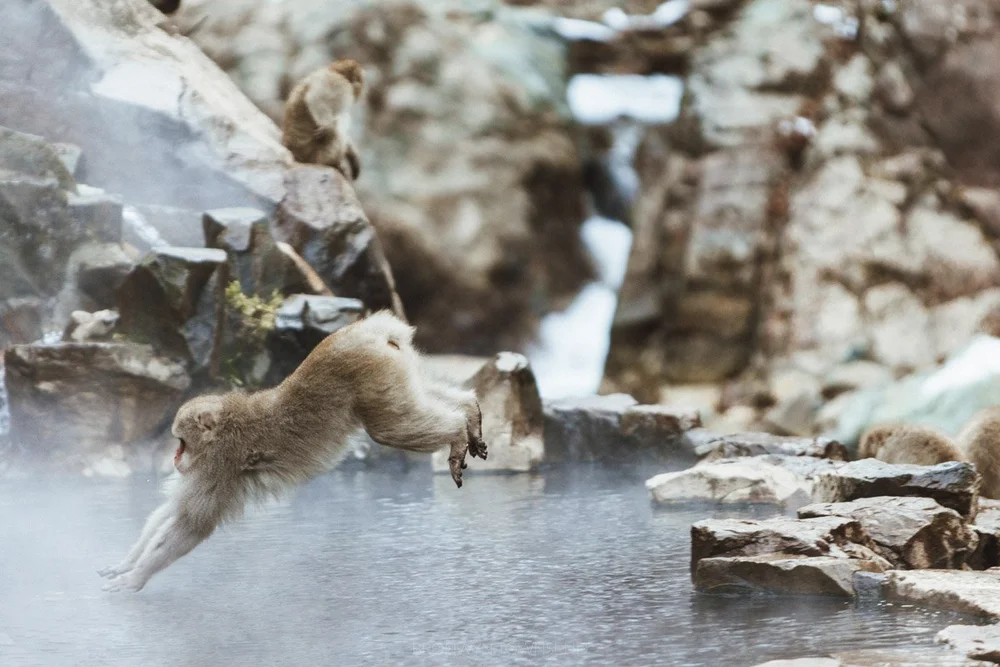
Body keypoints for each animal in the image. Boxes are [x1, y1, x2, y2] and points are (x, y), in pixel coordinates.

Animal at [98, 310, 487, 592]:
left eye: (181, 441)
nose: (175, 459)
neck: (224, 427)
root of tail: (366, 333)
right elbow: (171, 510)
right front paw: (128, 563)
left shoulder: (221, 462)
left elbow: (191, 524)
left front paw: (135, 578)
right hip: (395, 372)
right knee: (416, 401)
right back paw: (468, 412)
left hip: (375, 377)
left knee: (390, 429)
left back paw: (455, 430)